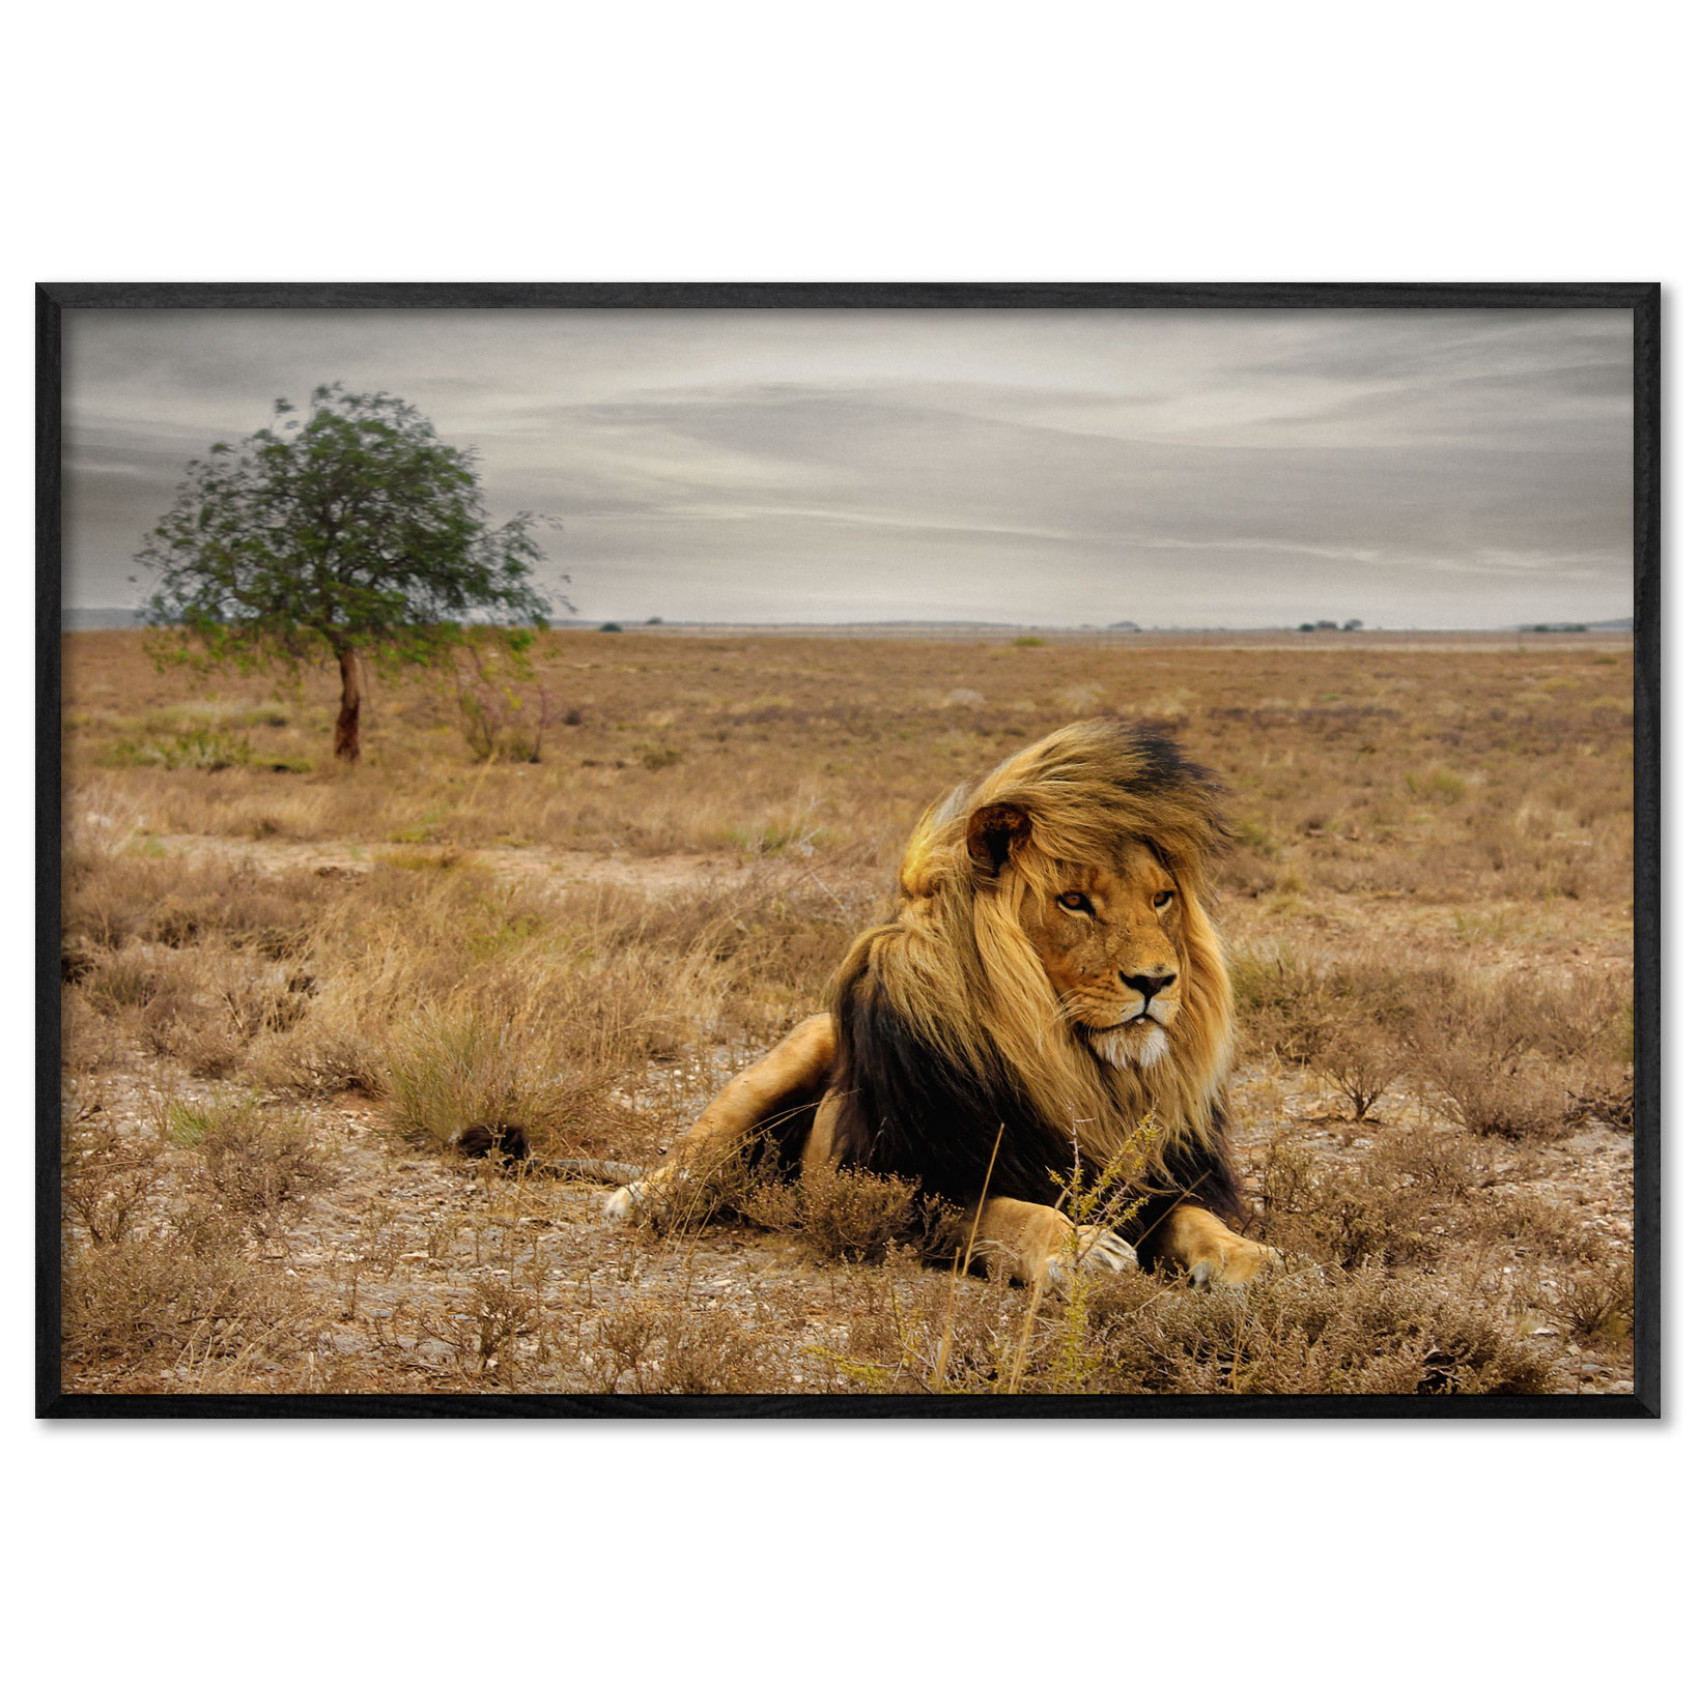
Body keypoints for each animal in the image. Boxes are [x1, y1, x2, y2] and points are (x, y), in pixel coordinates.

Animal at [606, 720, 1278, 1291]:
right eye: (1074, 901)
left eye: (1162, 898)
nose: (1156, 981)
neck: (1081, 1073)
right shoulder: (898, 1186)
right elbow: (1007, 1212)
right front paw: (1083, 1248)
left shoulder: (1162, 1177)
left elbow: (1197, 1218)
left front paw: (1248, 1255)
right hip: (783, 1062)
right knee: (697, 1153)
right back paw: (641, 1197)